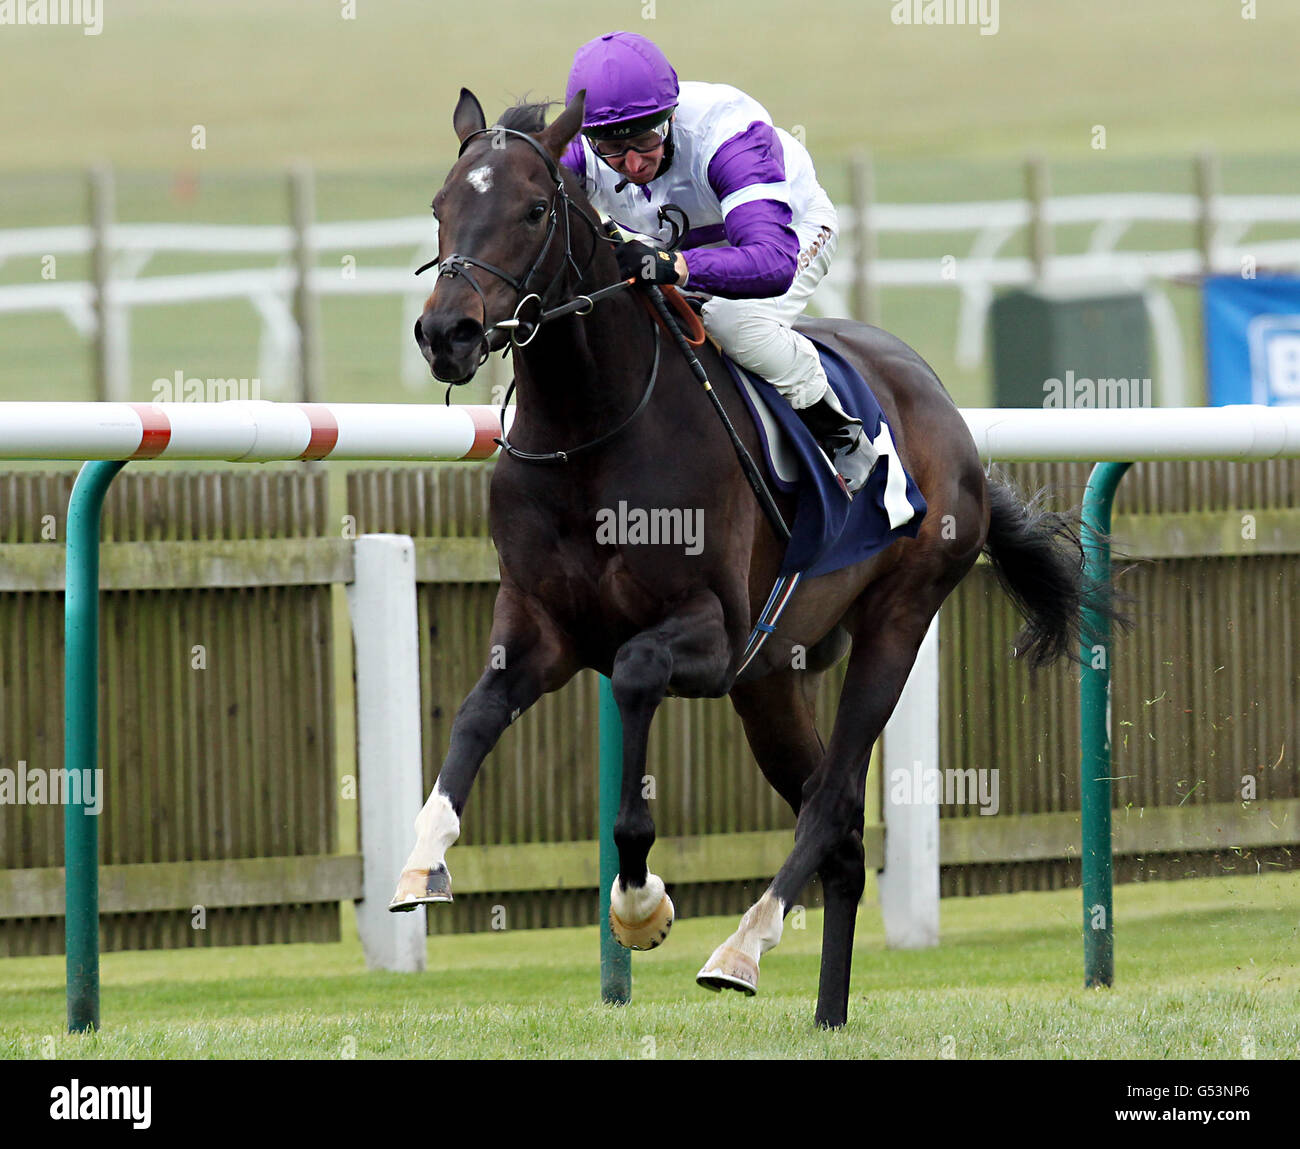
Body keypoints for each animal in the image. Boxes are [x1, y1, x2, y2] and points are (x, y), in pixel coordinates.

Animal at [391, 87, 1091, 1029]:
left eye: (534, 209)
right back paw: (827, 1011)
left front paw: (641, 904)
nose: (448, 333)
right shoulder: (541, 625)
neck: (590, 432)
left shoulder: (714, 637)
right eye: (440, 204)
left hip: (894, 621)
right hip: (773, 680)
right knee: (840, 837)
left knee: (831, 803)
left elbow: (638, 681)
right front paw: (424, 860)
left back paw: (742, 947)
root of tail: (943, 404)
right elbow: (474, 712)